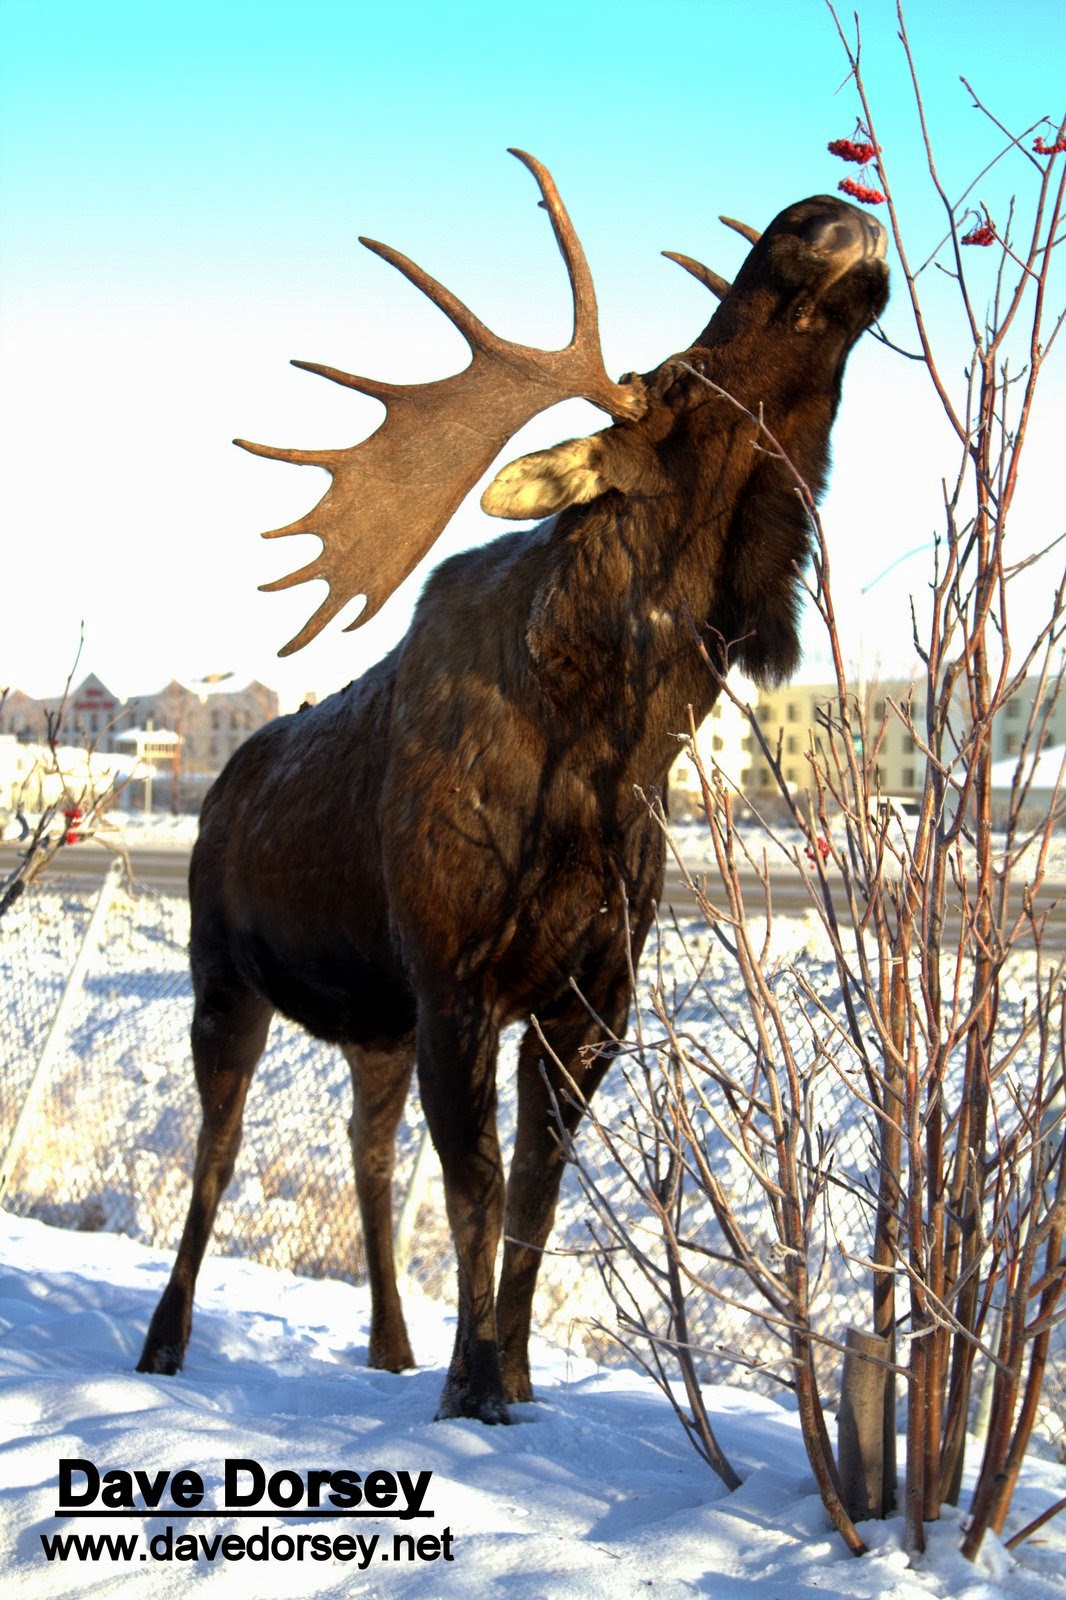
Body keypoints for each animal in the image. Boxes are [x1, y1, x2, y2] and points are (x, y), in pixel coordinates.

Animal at [137, 151, 888, 1424]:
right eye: (680, 377)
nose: (819, 217)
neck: (617, 751)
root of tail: (218, 789)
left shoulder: (592, 995)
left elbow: (536, 1192)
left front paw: (514, 1382)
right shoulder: (453, 975)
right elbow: (478, 1190)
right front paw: (469, 1389)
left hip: (372, 1020)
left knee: (366, 1145)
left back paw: (388, 1344)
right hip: (222, 973)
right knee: (217, 1151)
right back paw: (164, 1343)